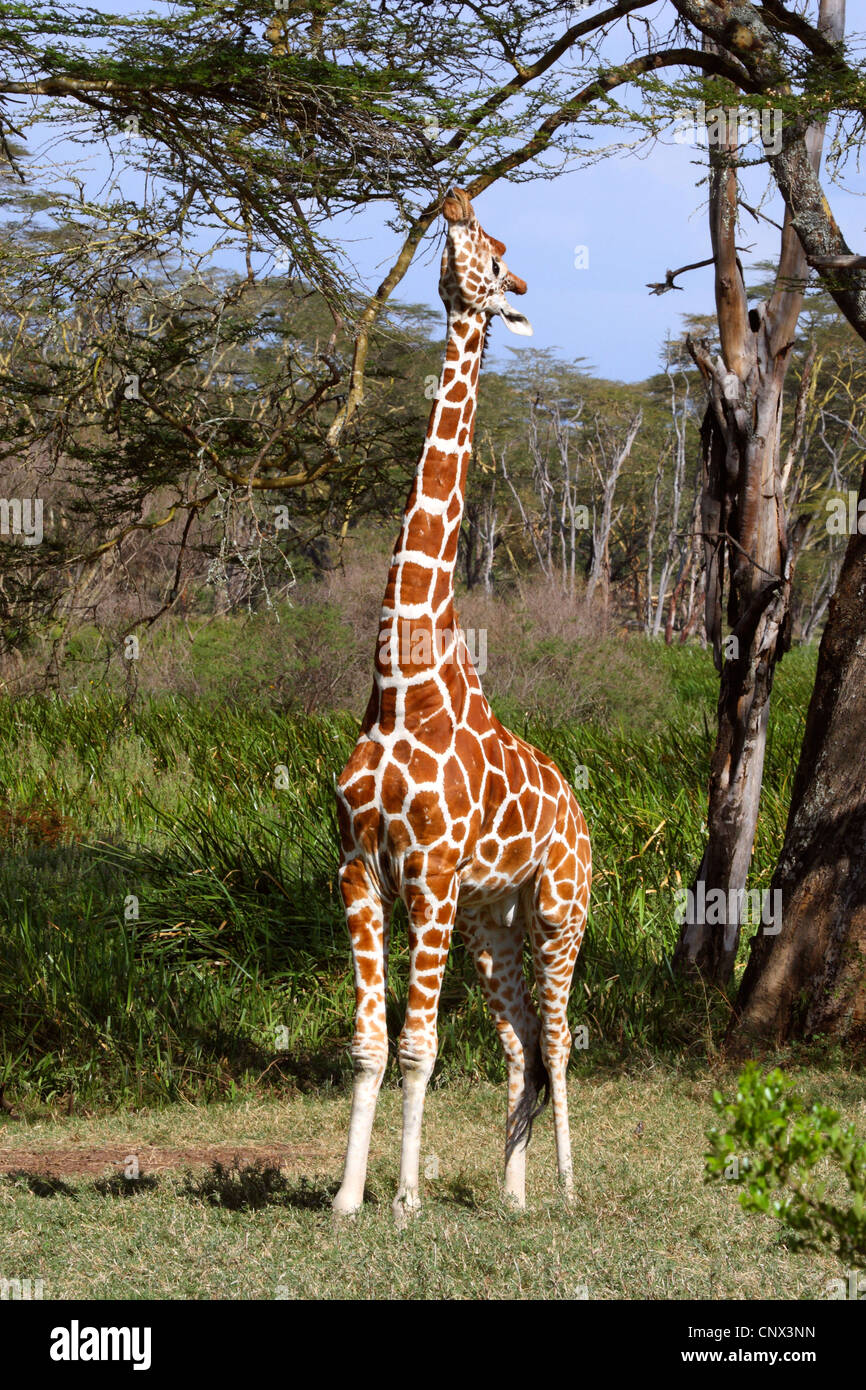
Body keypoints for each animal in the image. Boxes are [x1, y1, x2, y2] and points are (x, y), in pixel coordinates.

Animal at [333, 188, 591, 1221]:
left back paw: (567, 1190)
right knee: (521, 1045)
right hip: (495, 924)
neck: (401, 689)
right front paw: (346, 1199)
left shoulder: (432, 876)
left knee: (559, 1042)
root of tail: (581, 810)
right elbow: (370, 1041)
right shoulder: (359, 871)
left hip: (561, 911)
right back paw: (514, 1197)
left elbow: (419, 1044)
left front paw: (403, 1200)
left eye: (495, 245)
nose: (456, 198)